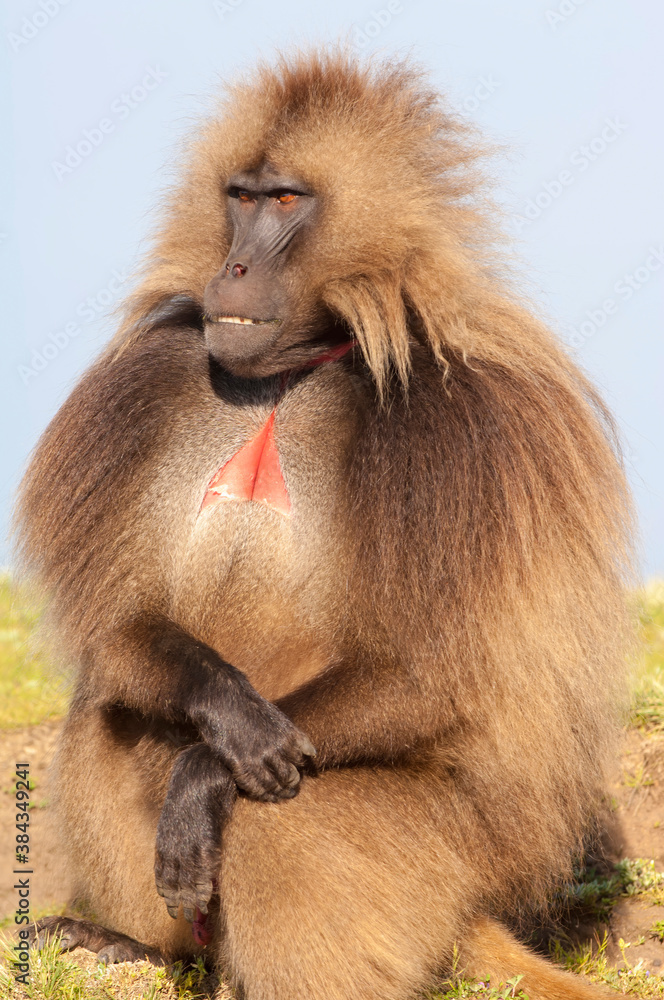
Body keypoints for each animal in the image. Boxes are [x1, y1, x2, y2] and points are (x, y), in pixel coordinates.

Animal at [15, 50, 633, 999]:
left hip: (431, 856)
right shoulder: (146, 385)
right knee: (108, 706)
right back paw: (140, 947)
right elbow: (122, 627)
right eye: (239, 196)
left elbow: (423, 672)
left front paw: (207, 769)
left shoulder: (464, 426)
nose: (233, 269)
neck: (296, 369)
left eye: (285, 201)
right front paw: (227, 717)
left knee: (279, 806)